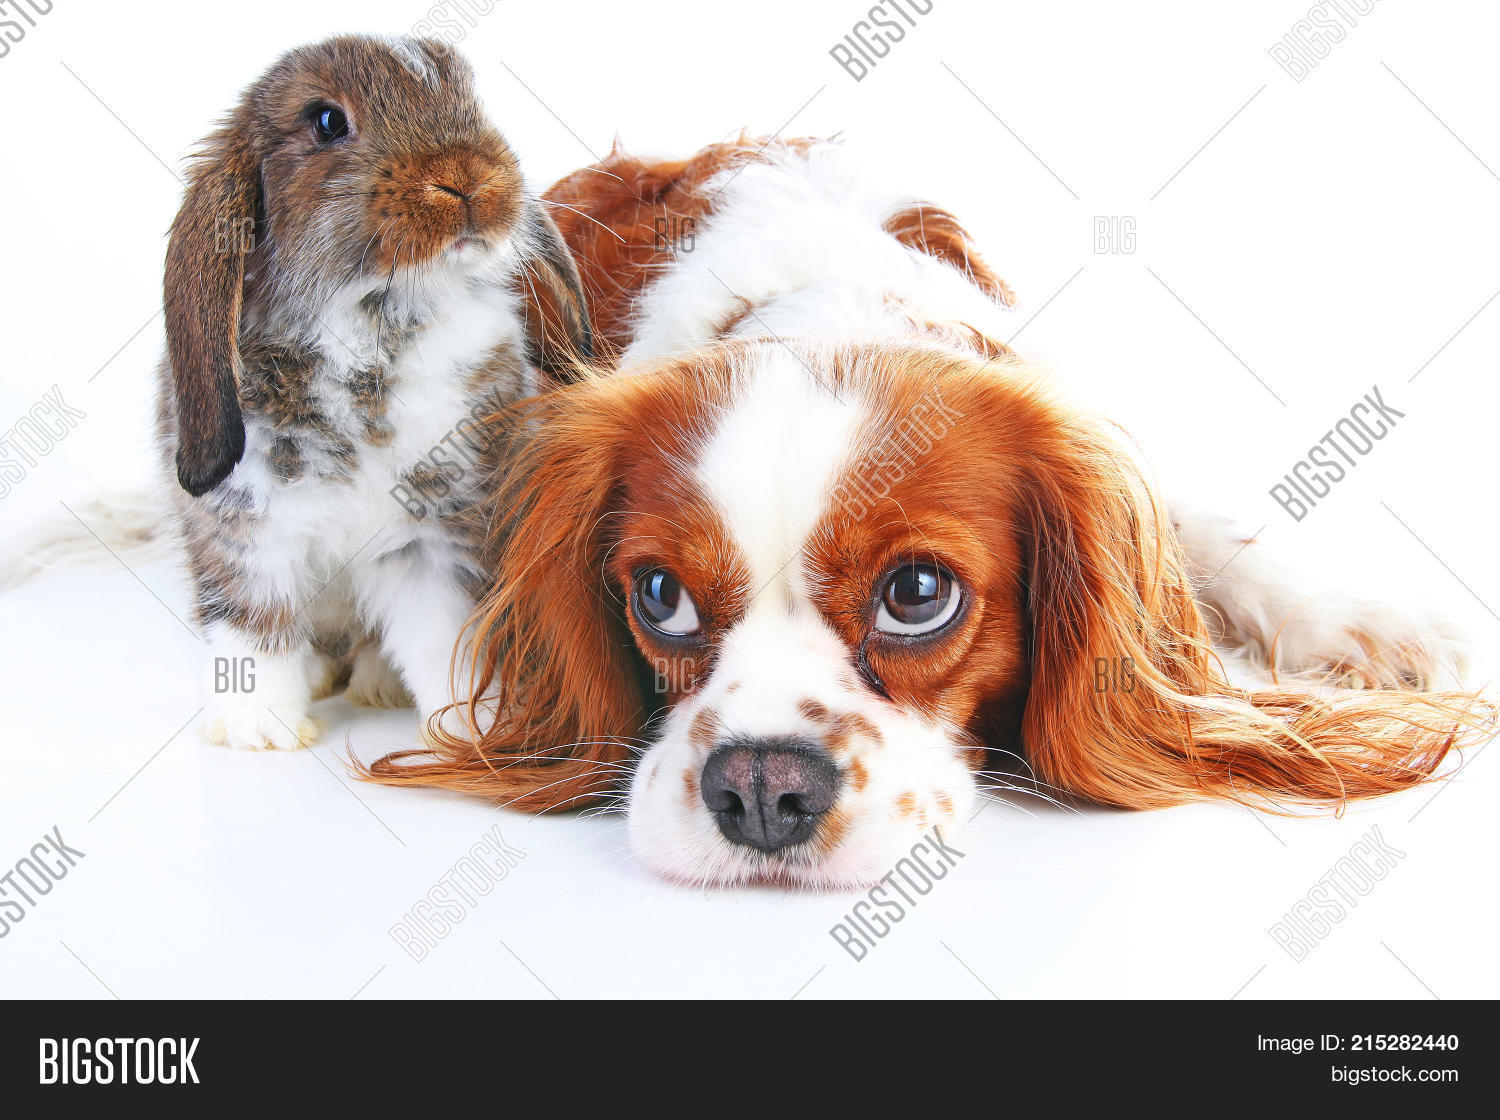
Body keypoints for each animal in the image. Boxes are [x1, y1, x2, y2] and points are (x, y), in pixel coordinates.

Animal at [155, 34, 591, 751]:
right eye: (327, 121)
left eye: (470, 96)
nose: (470, 176)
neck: (371, 331)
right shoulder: (246, 535)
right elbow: (255, 627)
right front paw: (261, 732)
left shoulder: (437, 537)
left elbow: (447, 641)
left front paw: (468, 730)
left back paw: (377, 686)